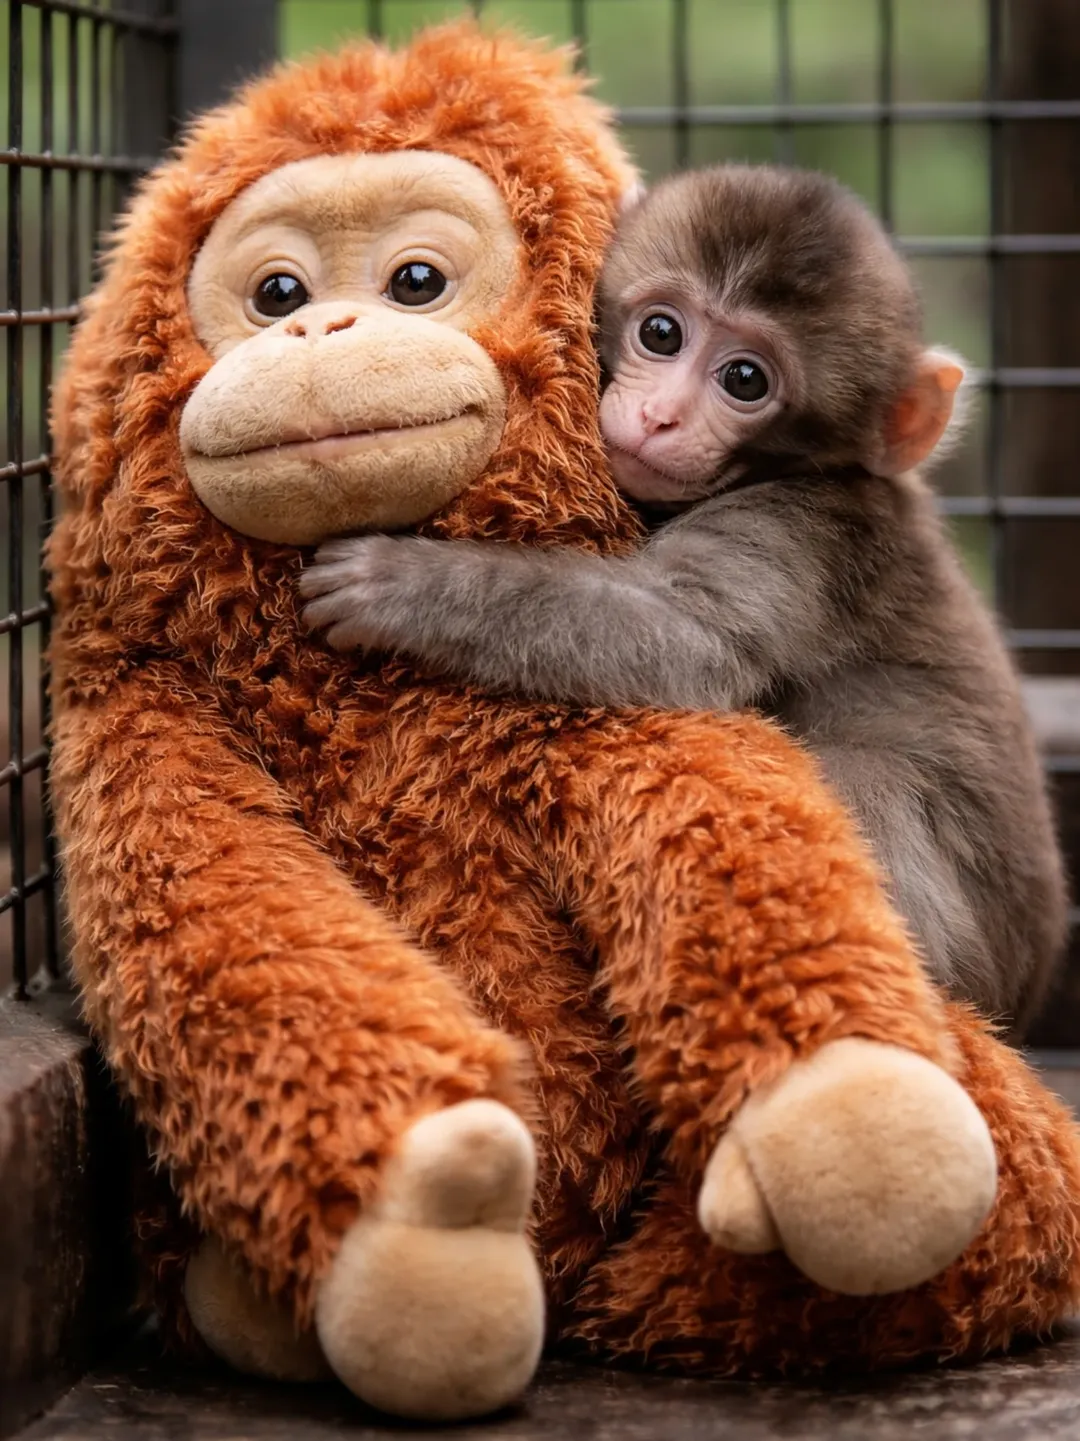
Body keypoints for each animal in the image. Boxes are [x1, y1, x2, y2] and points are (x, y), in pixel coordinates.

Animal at [299, 163, 1068, 1032]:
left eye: (745, 379)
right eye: (662, 333)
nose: (660, 416)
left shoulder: (804, 529)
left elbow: (686, 637)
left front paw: (398, 579)